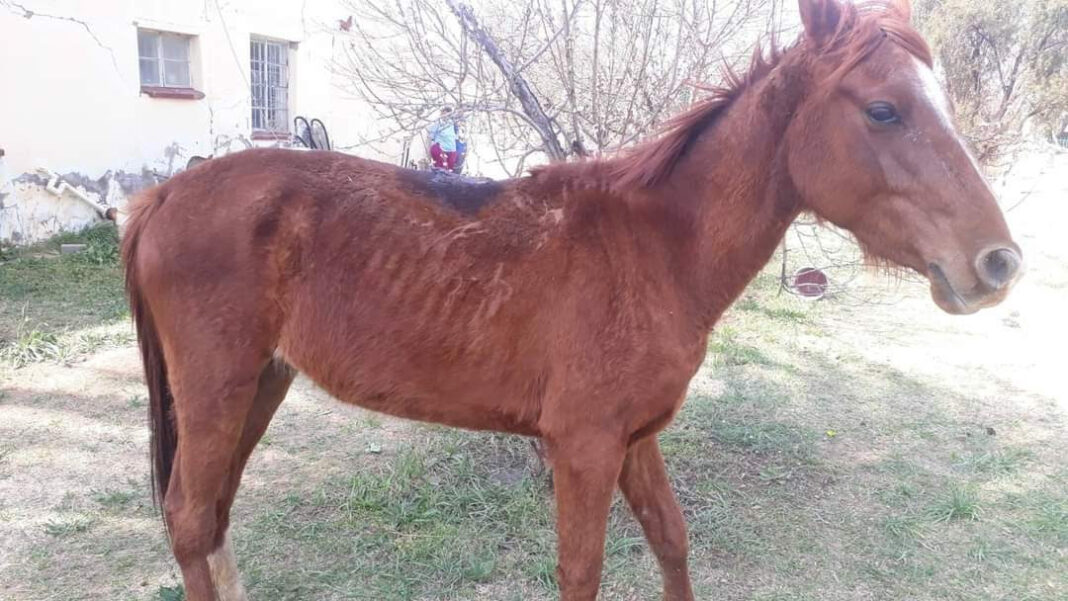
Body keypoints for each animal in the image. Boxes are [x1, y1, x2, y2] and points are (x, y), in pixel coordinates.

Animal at [122, 0, 1022, 599]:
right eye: (883, 109)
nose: (998, 261)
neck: (653, 250)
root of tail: (161, 196)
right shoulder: (584, 448)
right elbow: (582, 571)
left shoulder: (634, 438)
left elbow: (671, 539)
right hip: (219, 388)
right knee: (191, 518)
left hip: (260, 383)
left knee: (210, 520)